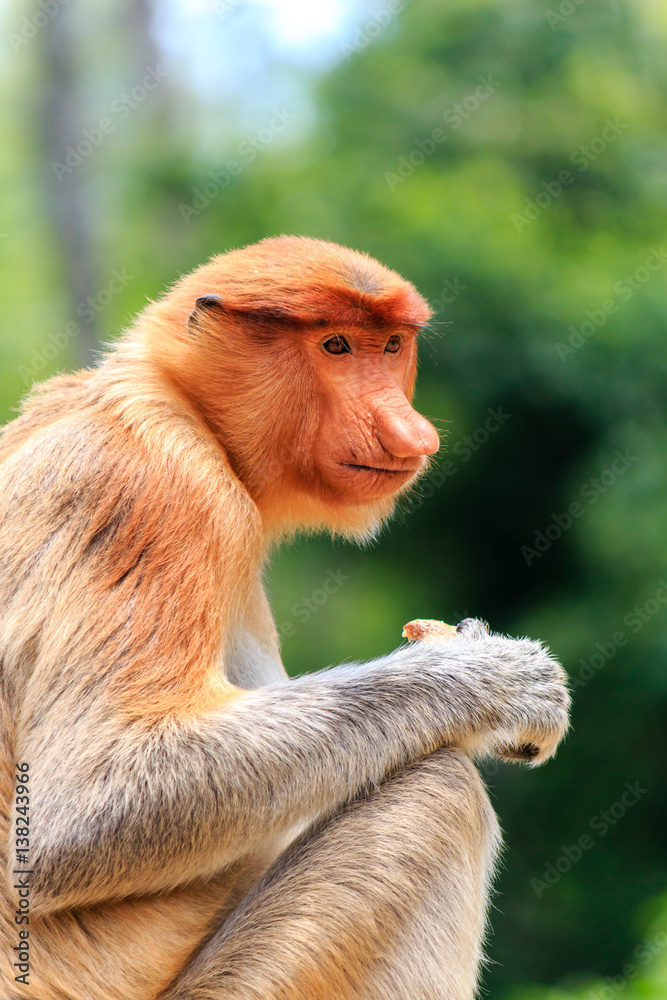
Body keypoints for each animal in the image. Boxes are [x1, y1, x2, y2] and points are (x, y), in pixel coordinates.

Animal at [0, 235, 570, 1000]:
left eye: (391, 346)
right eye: (334, 345)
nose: (413, 433)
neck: (180, 403)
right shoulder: (152, 489)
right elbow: (81, 809)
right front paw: (491, 680)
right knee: (439, 796)